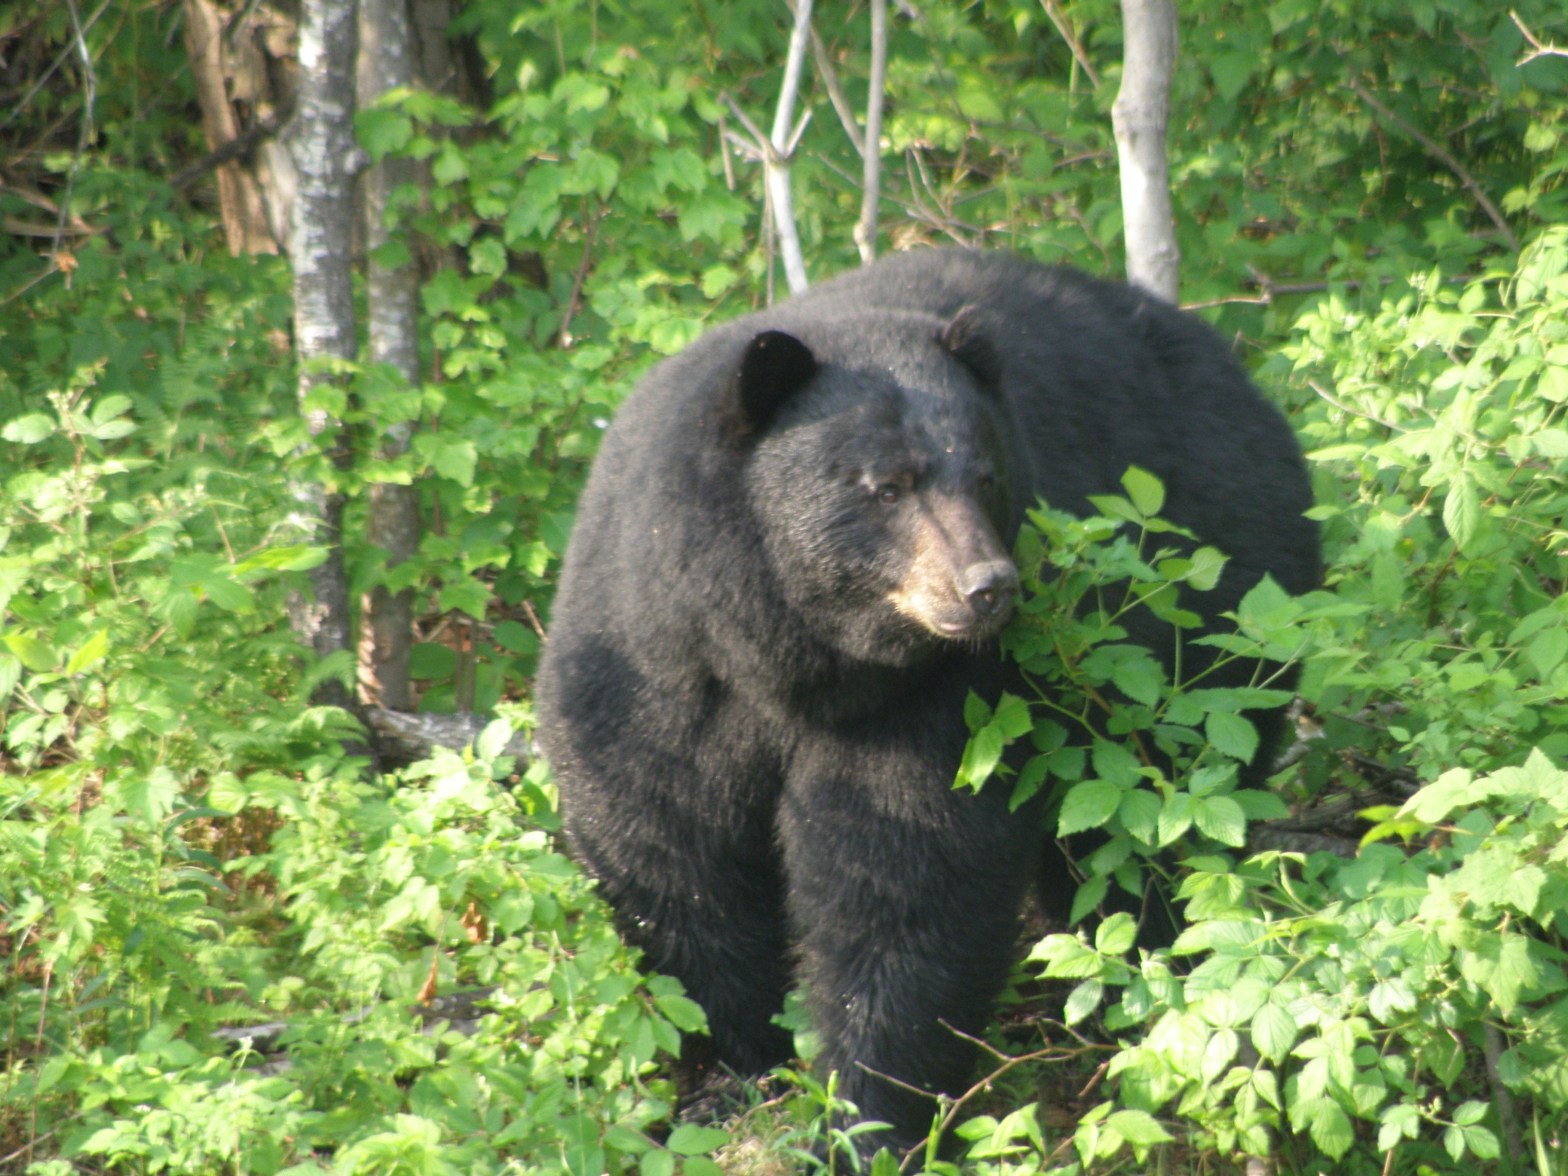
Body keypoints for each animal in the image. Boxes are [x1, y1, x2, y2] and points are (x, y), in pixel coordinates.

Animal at [534, 248, 1320, 1155]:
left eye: (985, 476)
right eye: (888, 486)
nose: (989, 587)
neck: (790, 652)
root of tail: (1237, 373)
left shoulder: (938, 695)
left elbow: (906, 871)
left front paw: (864, 1113)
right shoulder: (658, 655)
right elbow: (664, 840)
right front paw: (739, 1067)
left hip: (1220, 593)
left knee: (1151, 827)